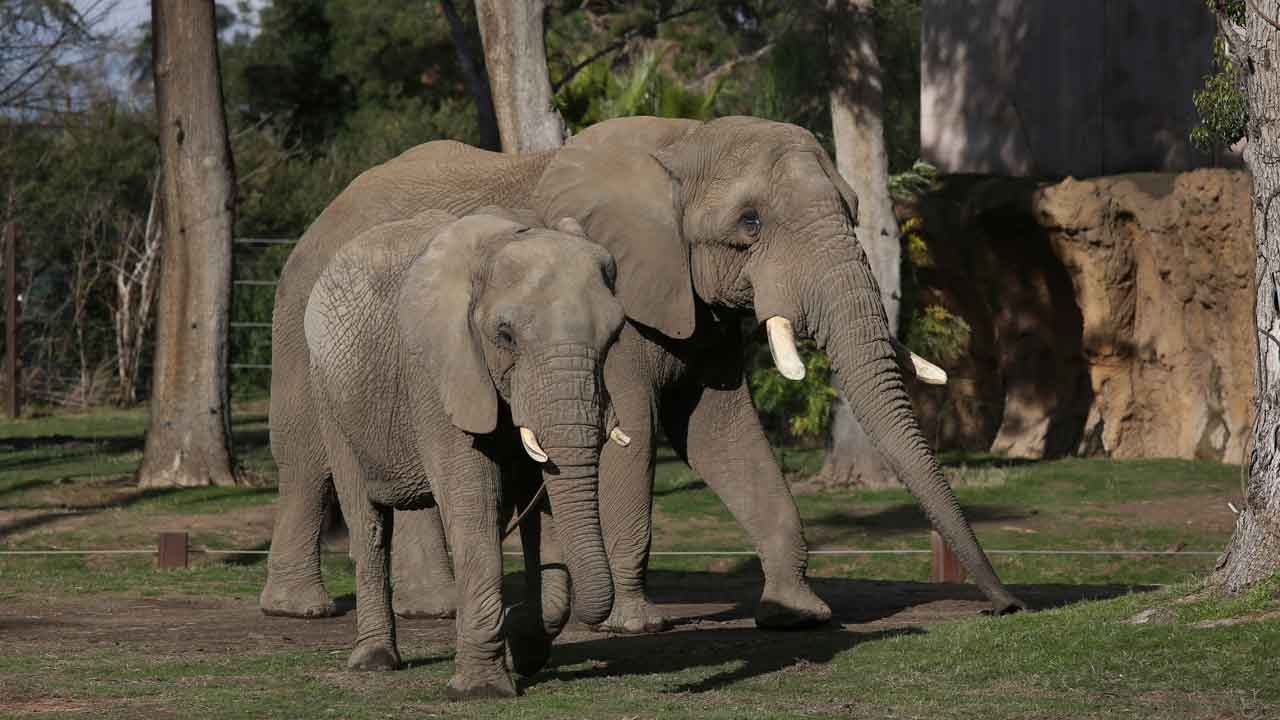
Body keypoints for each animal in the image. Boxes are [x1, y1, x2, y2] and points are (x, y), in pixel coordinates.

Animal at [260, 115, 1025, 639]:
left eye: (855, 212)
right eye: (750, 224)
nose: (1006, 605)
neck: (683, 145)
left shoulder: (698, 309)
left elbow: (724, 433)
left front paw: (797, 614)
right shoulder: (613, 303)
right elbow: (630, 429)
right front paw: (635, 622)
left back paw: (435, 608)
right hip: (301, 324)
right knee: (307, 462)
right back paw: (302, 609)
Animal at [302, 208, 624, 699]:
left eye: (615, 336)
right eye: (505, 335)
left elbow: (540, 507)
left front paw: (523, 646)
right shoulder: (439, 369)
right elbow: (472, 501)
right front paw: (481, 690)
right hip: (329, 397)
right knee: (368, 524)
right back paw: (375, 662)